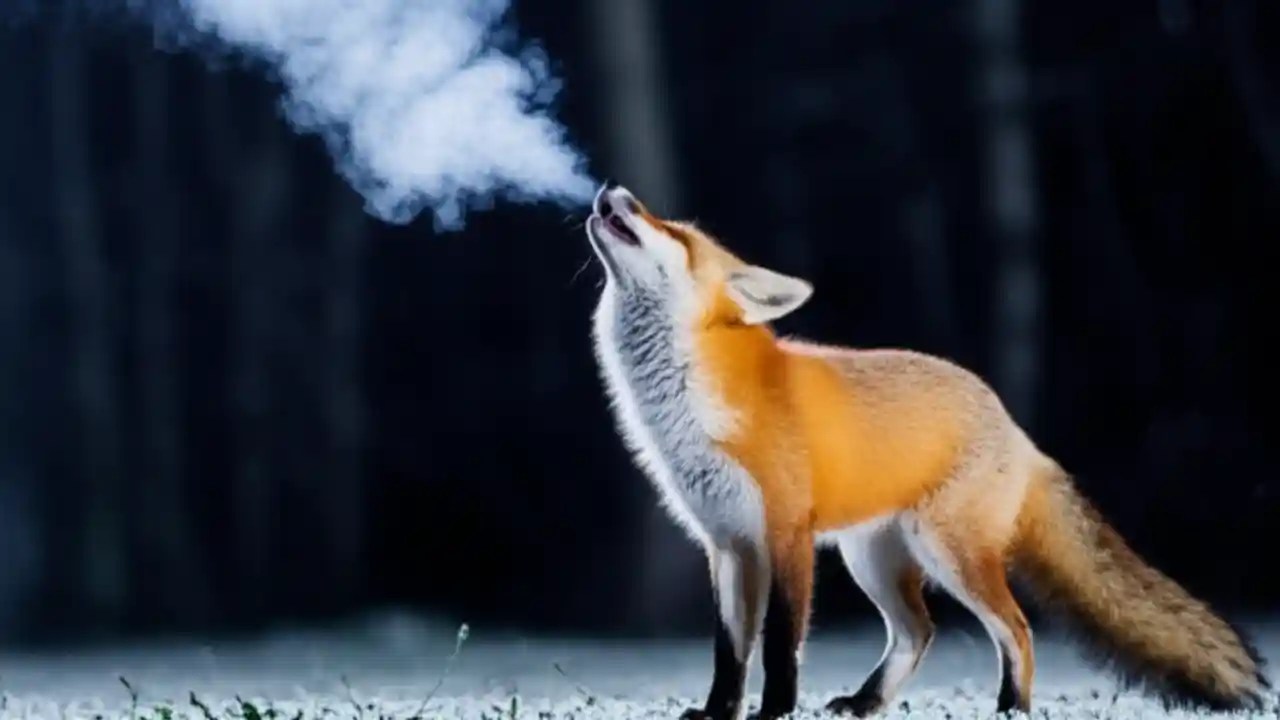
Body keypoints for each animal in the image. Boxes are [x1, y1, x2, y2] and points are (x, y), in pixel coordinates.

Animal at [582, 182, 1270, 719]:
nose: (613, 192)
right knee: (919, 632)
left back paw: (1011, 708)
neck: (692, 404)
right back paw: (867, 704)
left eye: (674, 230)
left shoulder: (786, 534)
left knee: (1016, 629)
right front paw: (717, 713)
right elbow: (730, 653)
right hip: (873, 558)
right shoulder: (727, 544)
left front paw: (774, 712)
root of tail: (1017, 430)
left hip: (950, 554)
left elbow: (780, 645)